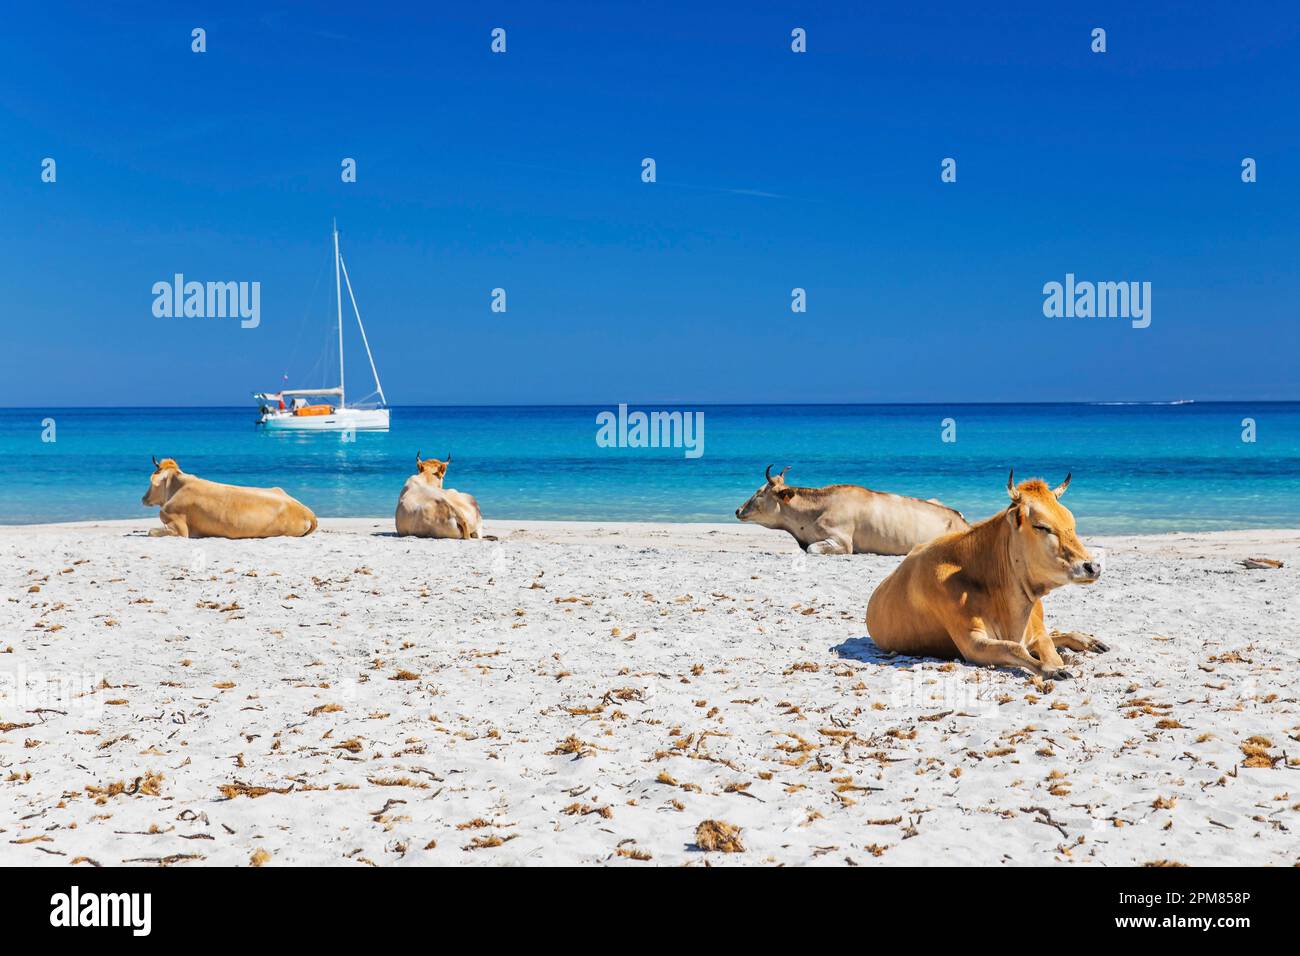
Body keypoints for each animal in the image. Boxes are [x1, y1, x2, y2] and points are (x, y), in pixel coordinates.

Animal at [141, 457, 317, 538]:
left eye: (151, 483)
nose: (143, 498)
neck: (178, 486)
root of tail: (308, 513)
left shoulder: (179, 527)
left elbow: (150, 531)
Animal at [865, 470, 1108, 679]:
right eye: (1041, 526)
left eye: (1072, 523)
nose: (1093, 567)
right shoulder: (972, 643)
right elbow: (1015, 648)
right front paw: (1050, 669)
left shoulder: (1035, 631)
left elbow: (1047, 647)